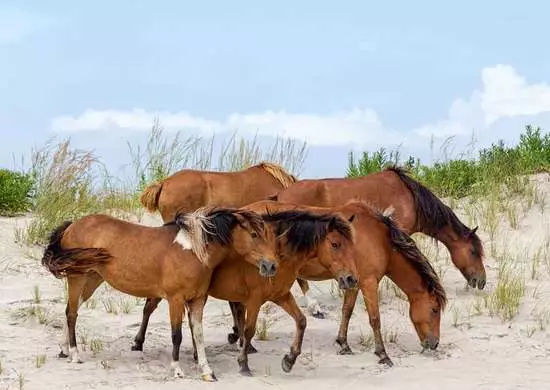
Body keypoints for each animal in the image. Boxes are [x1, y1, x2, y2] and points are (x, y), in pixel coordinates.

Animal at [41, 206, 280, 382]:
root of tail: (72, 225)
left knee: (70, 310)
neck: (192, 251)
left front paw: (207, 372)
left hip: (92, 279)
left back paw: (63, 350)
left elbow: (198, 335)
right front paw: (177, 370)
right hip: (77, 278)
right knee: (72, 314)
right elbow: (177, 335)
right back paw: (74, 355)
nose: (271, 266)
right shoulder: (175, 300)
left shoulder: (197, 300)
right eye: (254, 234)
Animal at [132, 206, 360, 376]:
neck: (278, 252)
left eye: (352, 245)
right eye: (335, 244)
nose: (351, 279)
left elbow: (301, 321)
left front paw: (289, 359)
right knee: (148, 308)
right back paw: (138, 342)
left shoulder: (281, 296)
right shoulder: (255, 299)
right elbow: (250, 329)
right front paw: (243, 363)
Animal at [226, 200, 450, 368]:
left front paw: (343, 344)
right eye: (434, 310)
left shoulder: (353, 282)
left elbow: (347, 311)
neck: (379, 238)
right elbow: (375, 319)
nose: (434, 343)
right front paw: (383, 354)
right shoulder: (369, 283)